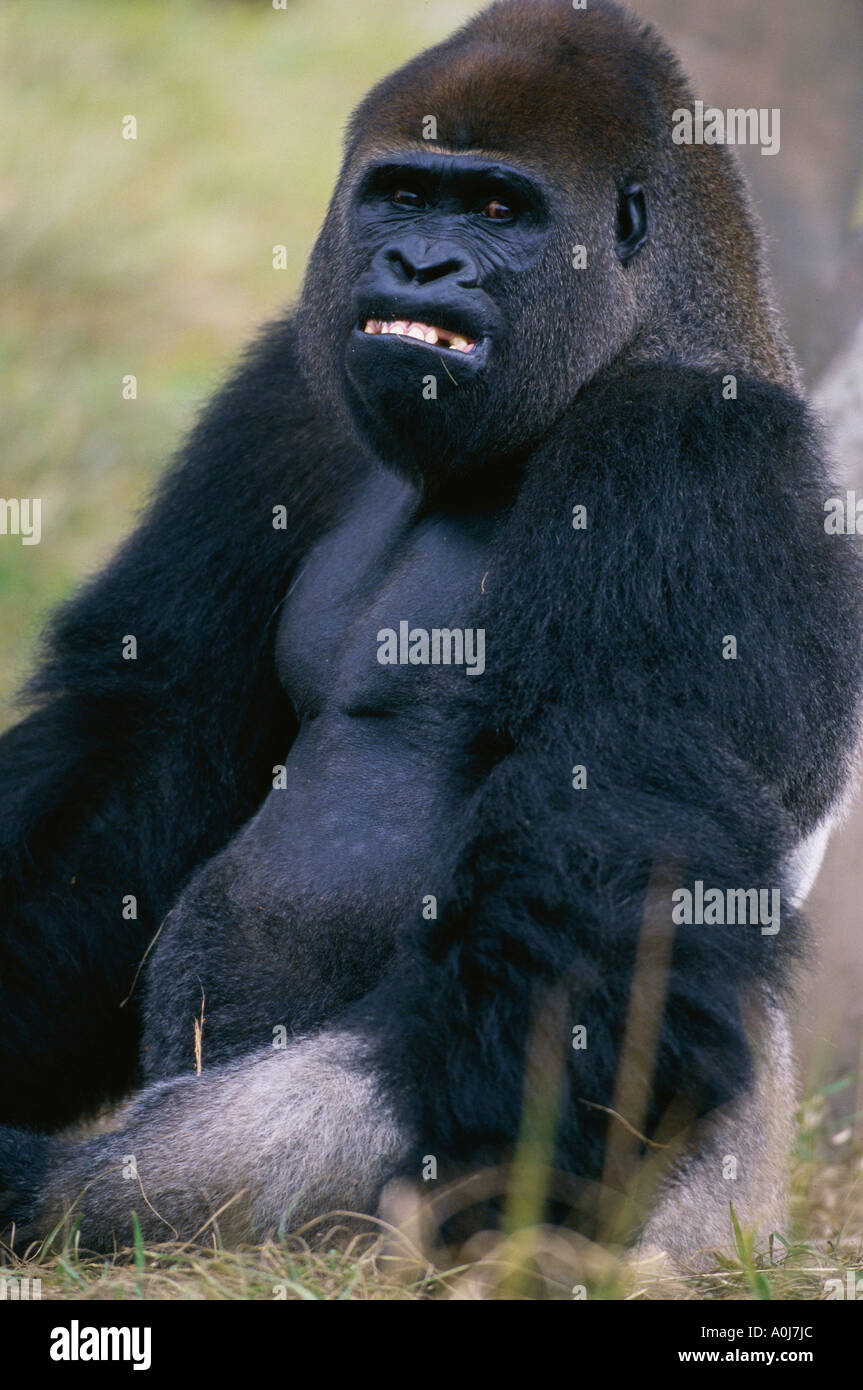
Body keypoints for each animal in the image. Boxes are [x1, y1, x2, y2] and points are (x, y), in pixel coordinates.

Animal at [1, 0, 861, 1266]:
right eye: (404, 195)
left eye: (498, 211)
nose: (419, 266)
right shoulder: (290, 395)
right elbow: (144, 752)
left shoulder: (691, 457)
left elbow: (589, 911)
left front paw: (46, 1187)